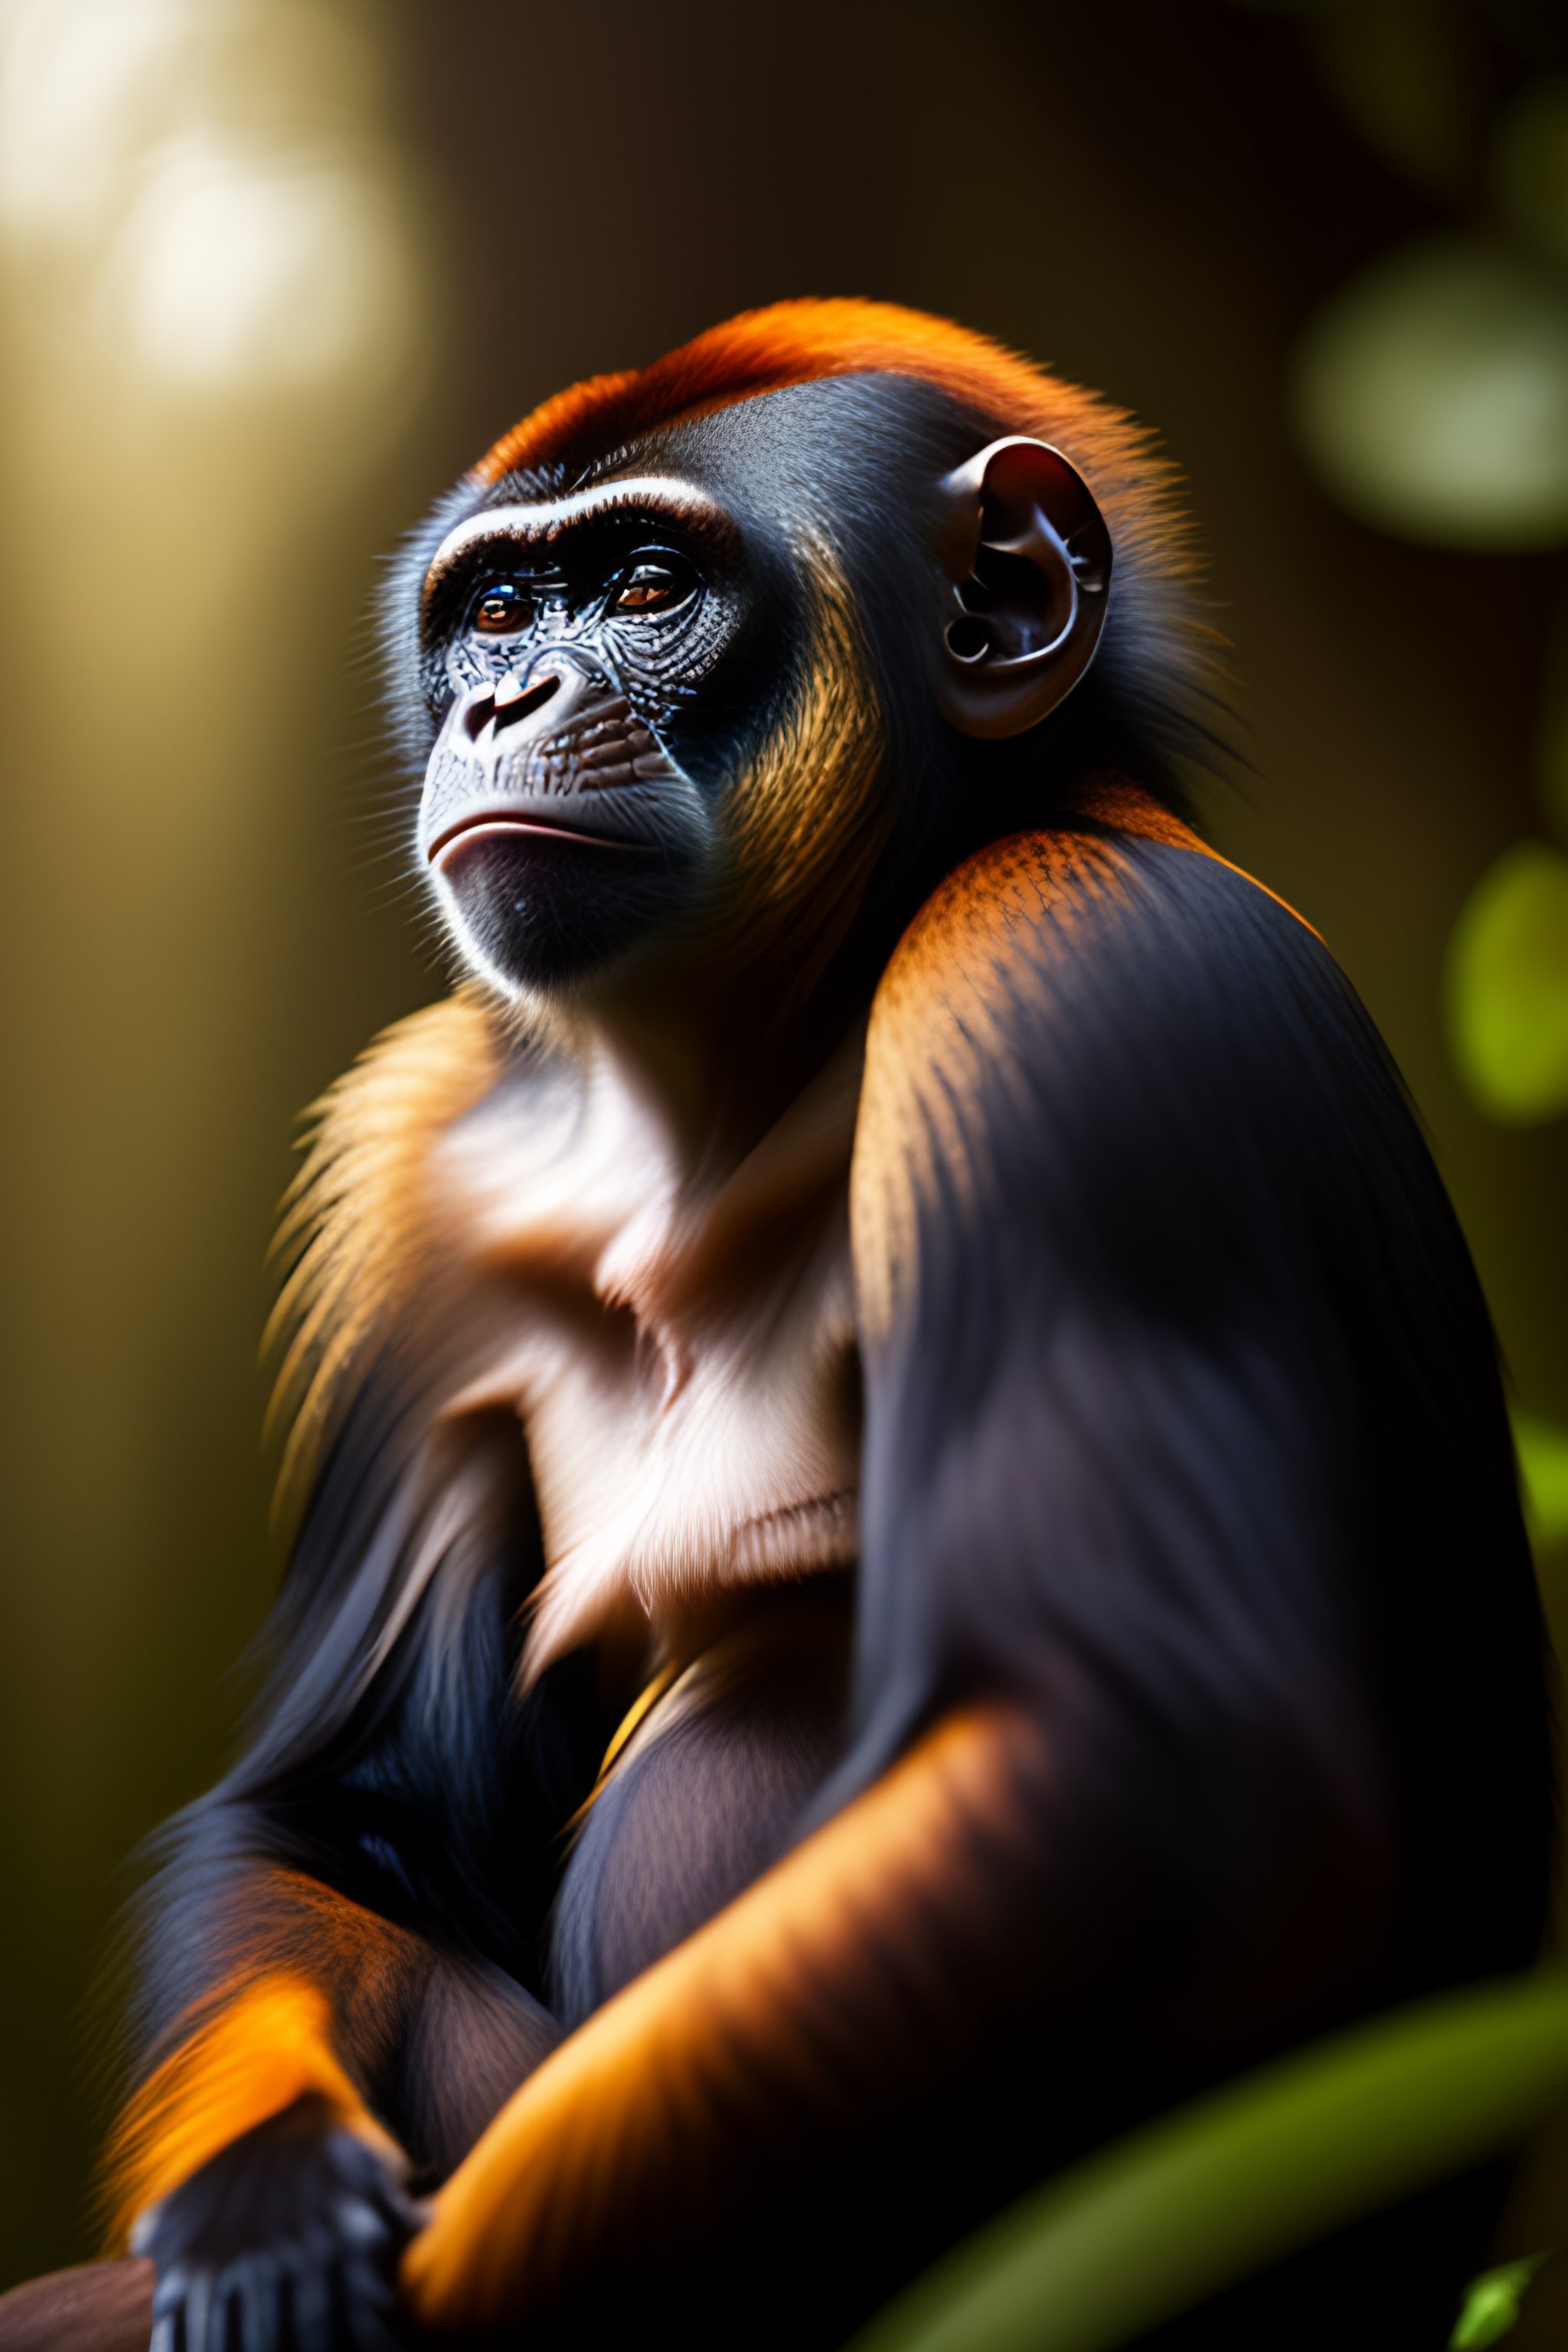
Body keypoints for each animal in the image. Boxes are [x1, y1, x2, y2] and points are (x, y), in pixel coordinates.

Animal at [0, 300, 1551, 2352]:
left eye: (649, 587)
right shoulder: (426, 1172)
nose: (498, 702)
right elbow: (344, 1811)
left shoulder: (1075, 973)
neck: (745, 1081)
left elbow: (1134, 1783)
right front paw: (258, 2190)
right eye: (496, 610)